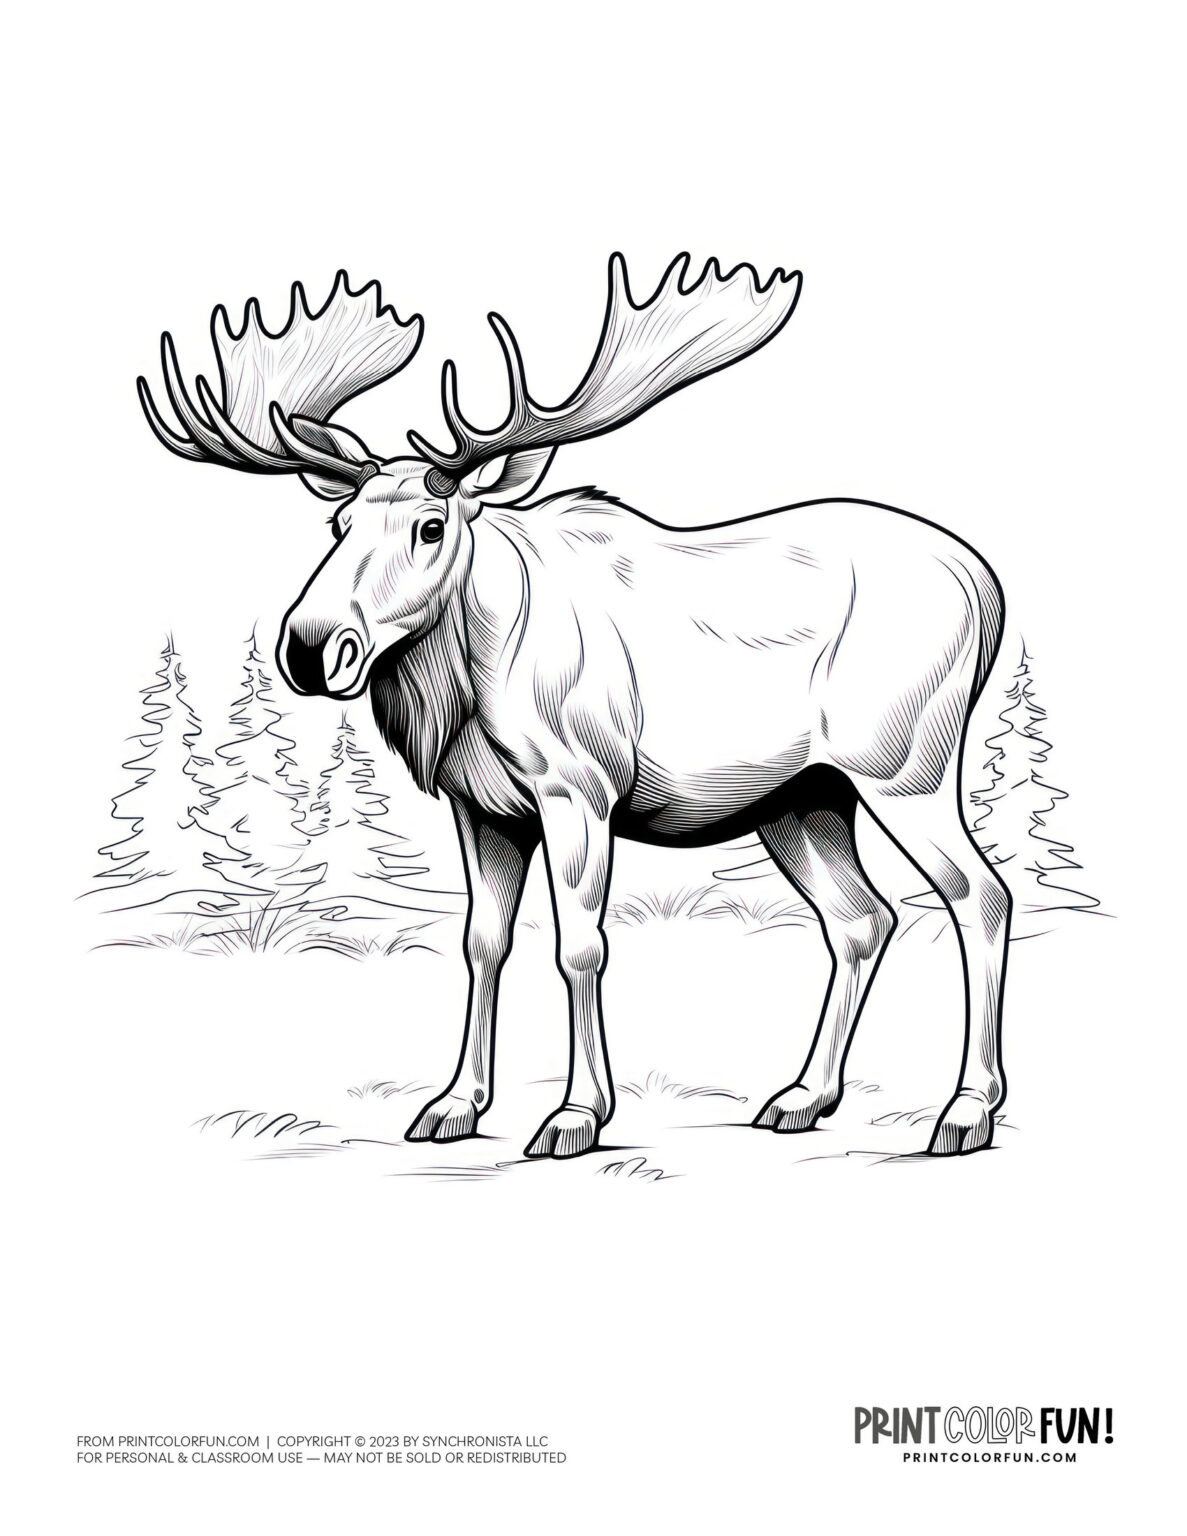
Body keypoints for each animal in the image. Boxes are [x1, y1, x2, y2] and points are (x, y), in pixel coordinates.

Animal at [138, 256, 1011, 1159]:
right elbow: (481, 943)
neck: (468, 686)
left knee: (979, 895)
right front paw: (454, 1104)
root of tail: (987, 587)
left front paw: (577, 1113)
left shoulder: (579, 788)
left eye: (428, 526)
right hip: (800, 796)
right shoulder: (481, 805)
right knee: (860, 917)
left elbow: (580, 946)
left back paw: (966, 1109)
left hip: (904, 765)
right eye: (338, 523)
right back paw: (804, 1093)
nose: (312, 646)